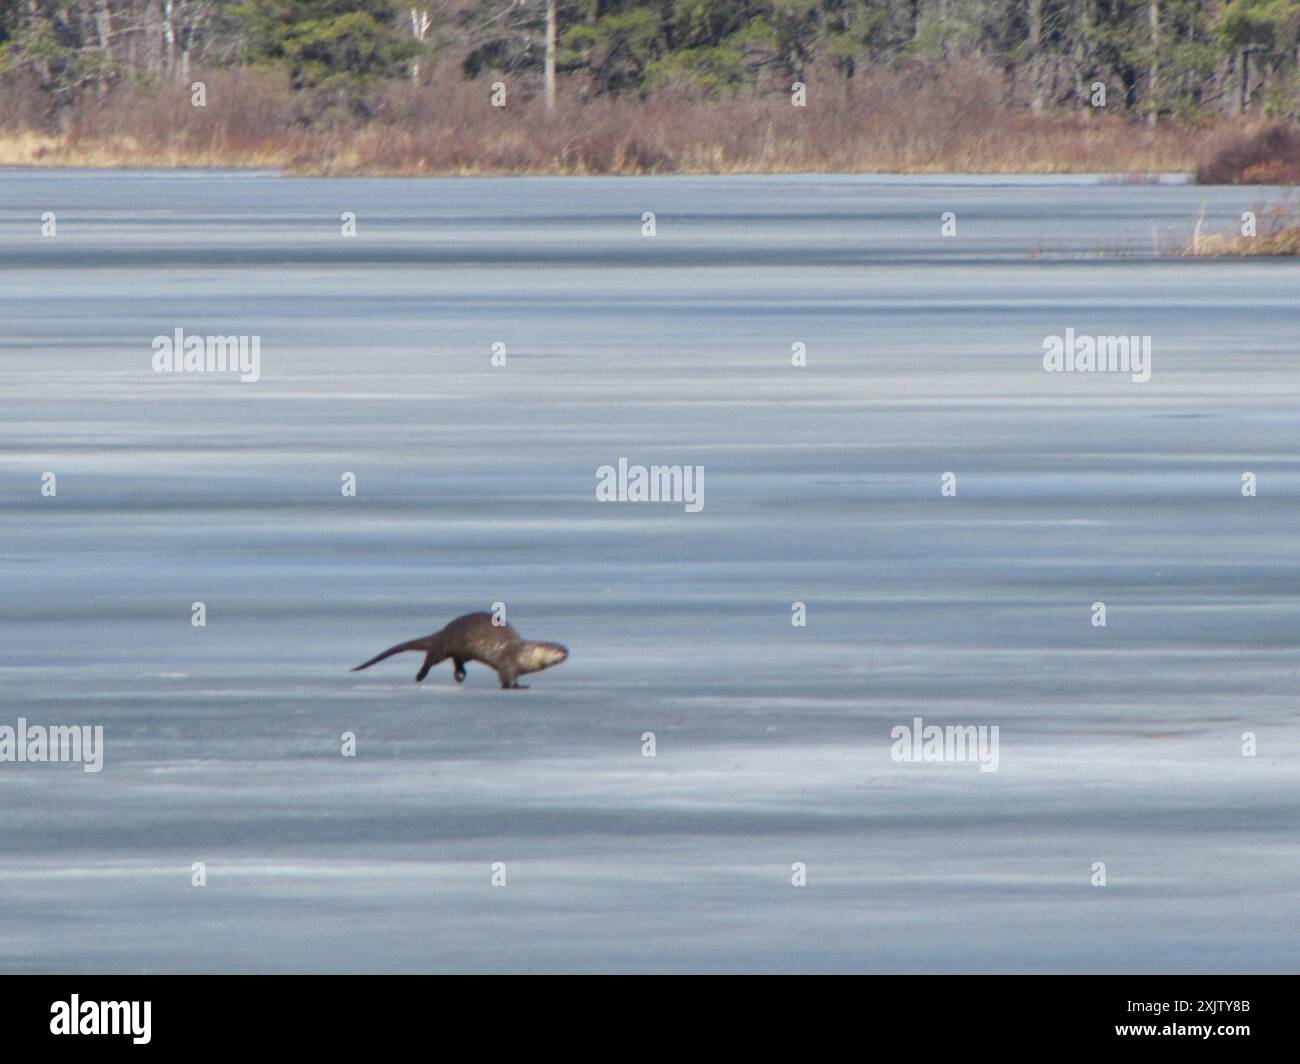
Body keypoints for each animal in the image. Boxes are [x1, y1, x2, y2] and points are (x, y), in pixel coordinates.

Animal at [351, 612, 568, 689]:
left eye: (563, 646)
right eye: (556, 649)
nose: (567, 651)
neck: (524, 655)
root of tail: (443, 631)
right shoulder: (507, 662)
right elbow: (506, 678)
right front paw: (516, 687)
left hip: (463, 651)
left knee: (457, 661)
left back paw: (460, 675)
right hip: (445, 646)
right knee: (431, 657)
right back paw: (420, 676)